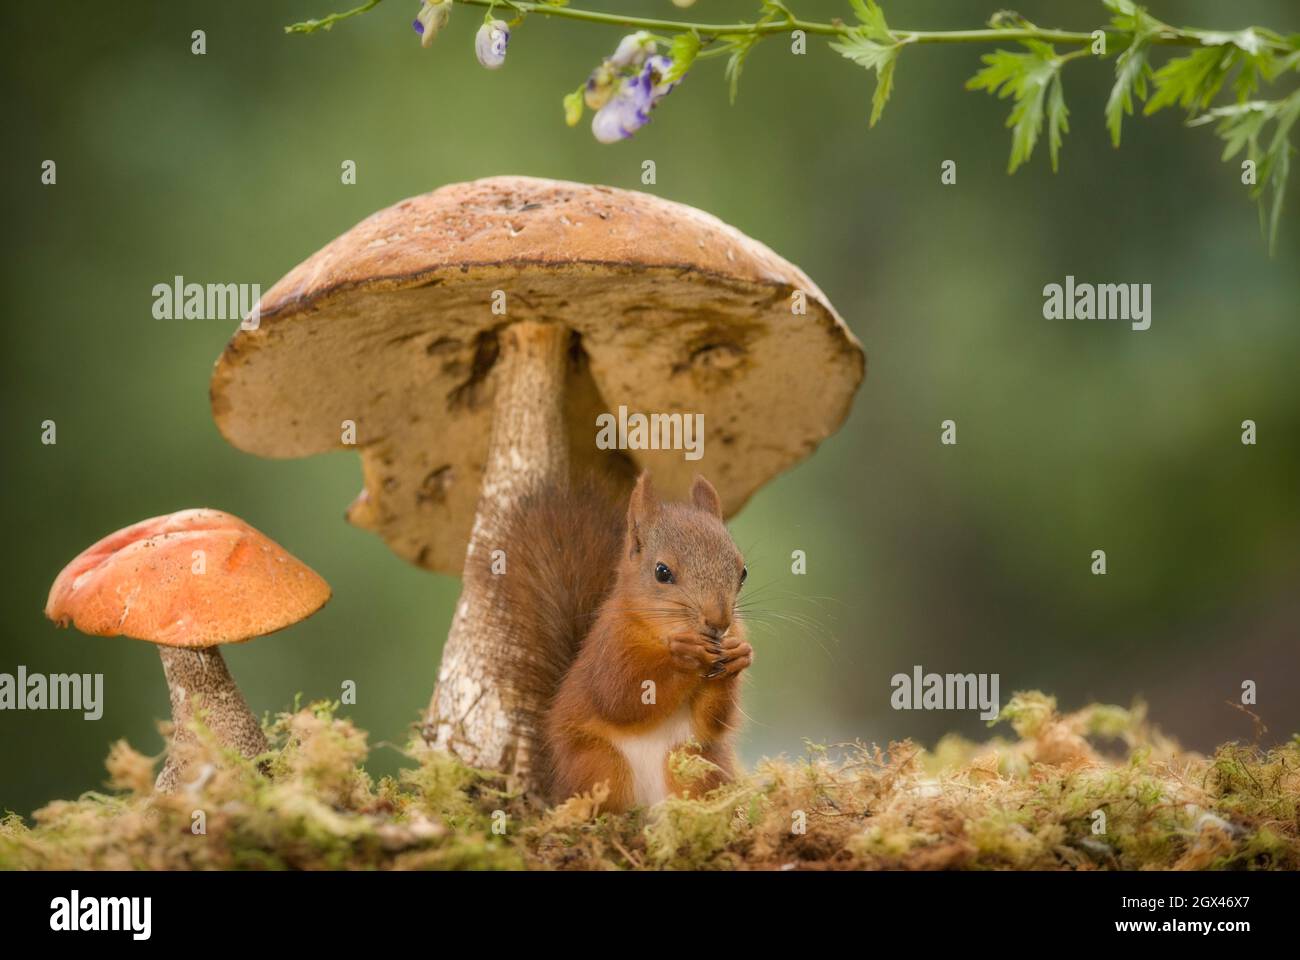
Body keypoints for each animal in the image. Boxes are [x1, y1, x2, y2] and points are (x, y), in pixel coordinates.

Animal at [477, 471, 752, 812]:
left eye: (743, 571)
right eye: (662, 572)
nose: (718, 623)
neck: (659, 633)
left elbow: (712, 724)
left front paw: (738, 656)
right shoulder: (607, 647)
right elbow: (619, 697)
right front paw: (684, 655)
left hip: (694, 760)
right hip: (597, 760)